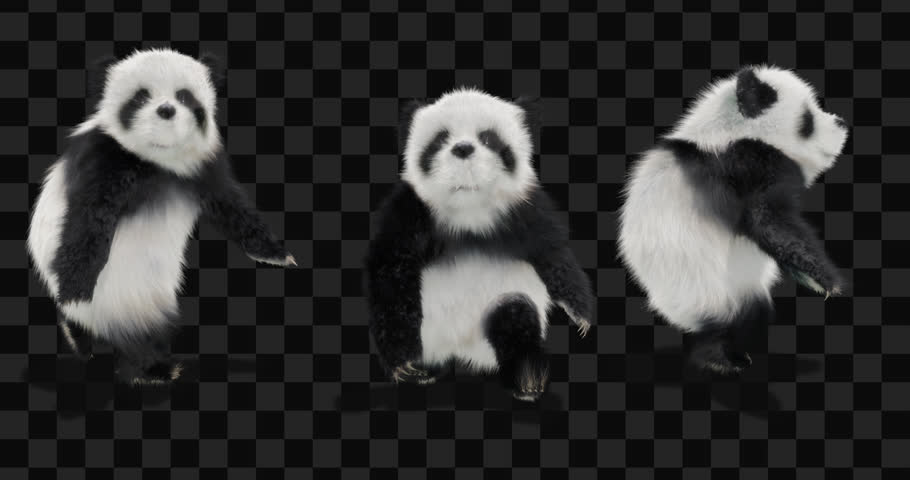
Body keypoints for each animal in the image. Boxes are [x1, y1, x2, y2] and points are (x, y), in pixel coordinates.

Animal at [27, 48, 295, 385]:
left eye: (184, 96)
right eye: (140, 97)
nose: (166, 110)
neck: (158, 160)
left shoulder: (202, 166)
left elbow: (231, 207)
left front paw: (276, 254)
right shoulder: (106, 160)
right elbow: (89, 220)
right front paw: (75, 287)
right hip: (125, 300)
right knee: (136, 336)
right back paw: (151, 368)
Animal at [365, 88, 594, 401]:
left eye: (488, 138)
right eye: (440, 138)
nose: (463, 149)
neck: (468, 206)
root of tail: (462, 354)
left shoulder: (524, 210)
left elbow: (553, 254)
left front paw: (580, 314)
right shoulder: (412, 211)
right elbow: (392, 271)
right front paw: (403, 363)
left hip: (499, 302)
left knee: (514, 317)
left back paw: (527, 376)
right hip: (428, 325)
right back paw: (421, 371)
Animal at [618, 65, 849, 374]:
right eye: (807, 121)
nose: (842, 123)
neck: (733, 128)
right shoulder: (746, 166)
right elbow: (768, 221)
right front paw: (827, 281)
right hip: (712, 287)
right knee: (745, 315)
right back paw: (722, 360)